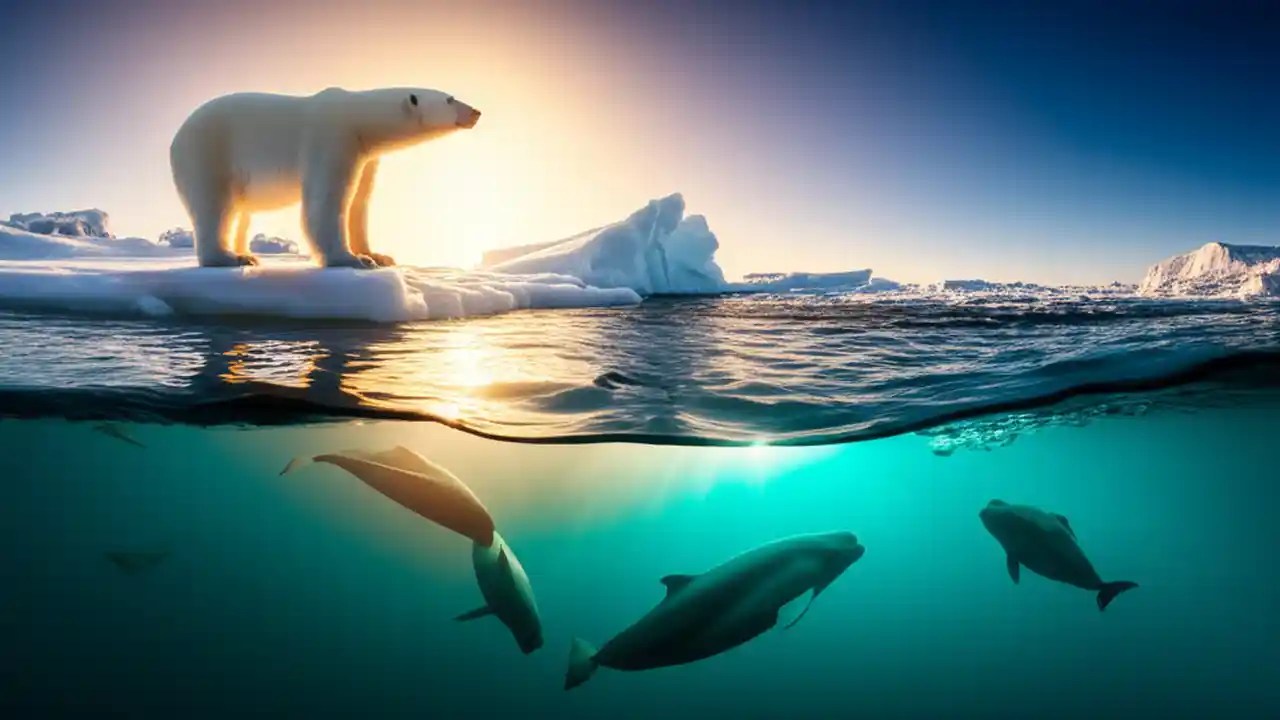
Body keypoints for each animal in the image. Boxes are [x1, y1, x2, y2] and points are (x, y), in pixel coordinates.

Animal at [169, 87, 481, 268]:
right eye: (450, 99)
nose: (476, 112)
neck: (359, 118)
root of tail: (176, 137)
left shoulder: (366, 155)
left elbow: (359, 202)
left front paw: (378, 255)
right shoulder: (333, 137)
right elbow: (328, 201)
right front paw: (353, 259)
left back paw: (243, 251)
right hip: (208, 151)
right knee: (214, 204)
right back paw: (229, 257)